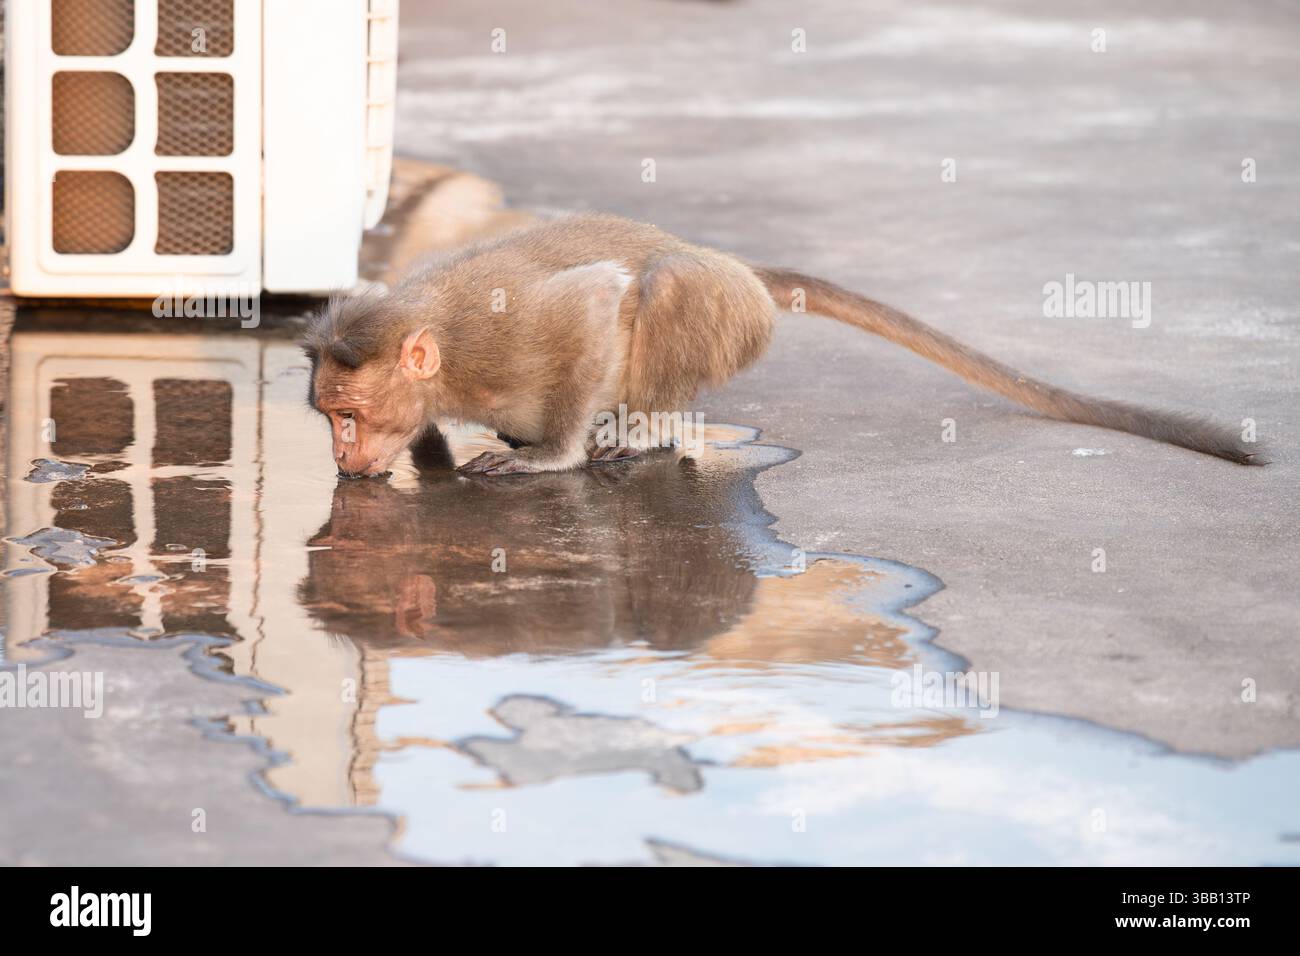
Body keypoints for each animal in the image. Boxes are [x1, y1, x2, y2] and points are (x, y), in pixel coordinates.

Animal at [303, 214, 1262, 478]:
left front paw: (555, 457)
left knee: (663, 284)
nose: (343, 458)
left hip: (729, 311)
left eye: (348, 414)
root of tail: (739, 268)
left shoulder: (500, 340)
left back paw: (641, 429)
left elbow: (597, 300)